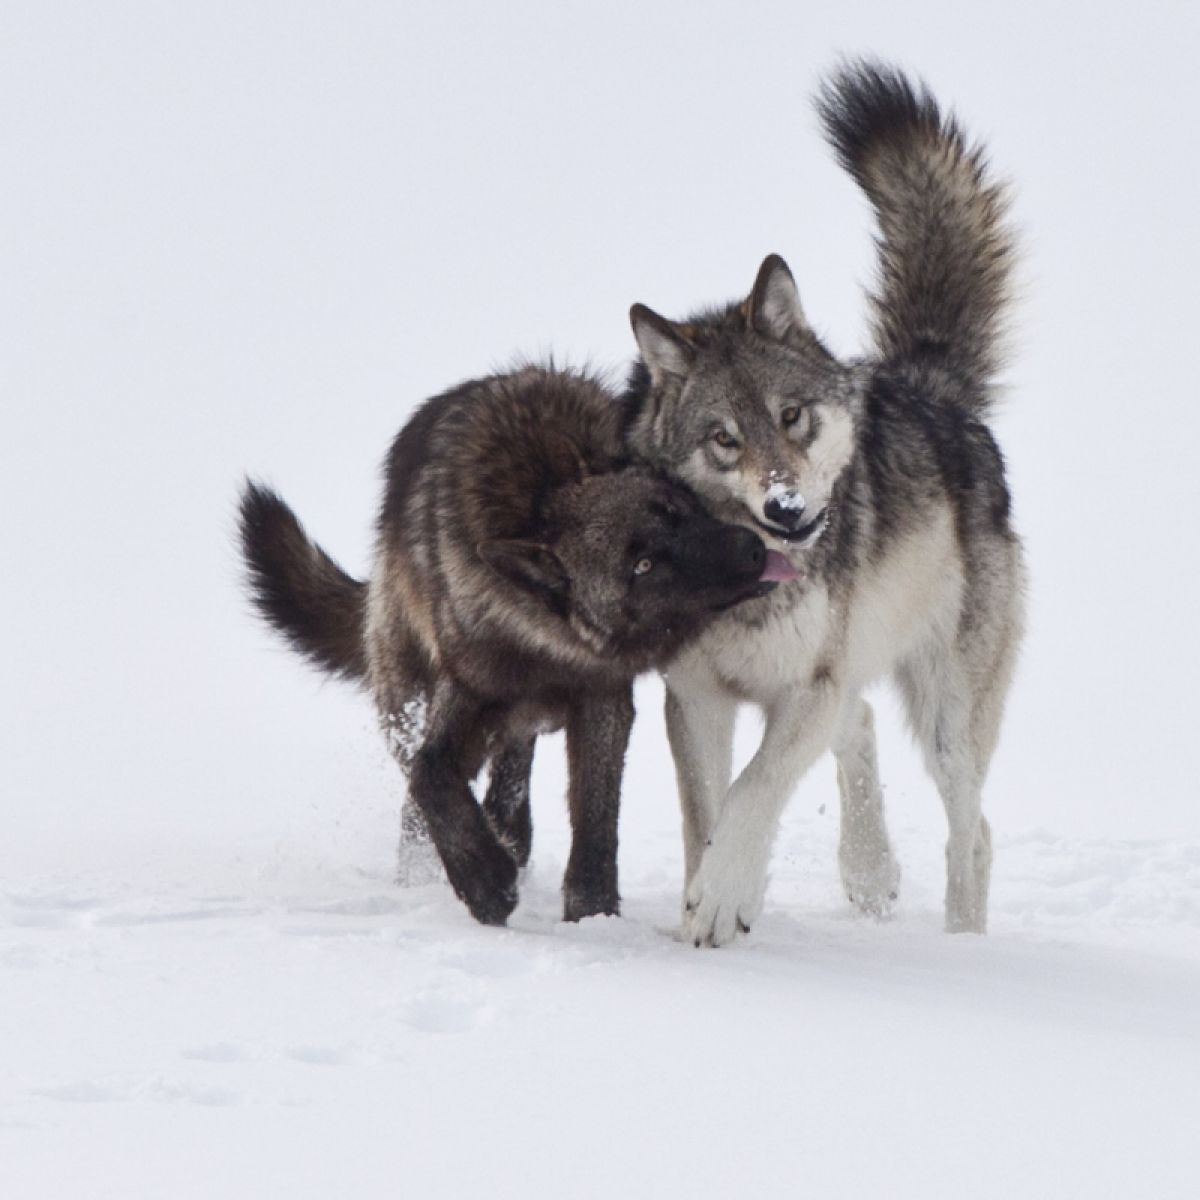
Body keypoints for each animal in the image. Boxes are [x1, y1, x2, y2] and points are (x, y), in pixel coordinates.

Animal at [239, 365, 787, 928]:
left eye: (676, 510)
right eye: (642, 566)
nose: (752, 550)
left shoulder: (603, 700)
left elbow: (596, 816)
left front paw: (592, 913)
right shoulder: (465, 692)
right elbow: (430, 776)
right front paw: (484, 882)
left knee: (510, 773)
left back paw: (509, 837)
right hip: (405, 704)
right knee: (418, 790)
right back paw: (430, 876)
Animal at [622, 61, 1024, 945]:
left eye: (792, 417)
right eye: (725, 439)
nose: (787, 509)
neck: (743, 584)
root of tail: (926, 384)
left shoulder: (807, 687)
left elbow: (753, 790)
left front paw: (722, 897)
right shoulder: (694, 696)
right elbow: (706, 810)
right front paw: (705, 907)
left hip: (946, 714)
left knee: (975, 831)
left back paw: (965, 947)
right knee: (865, 729)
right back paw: (869, 876)